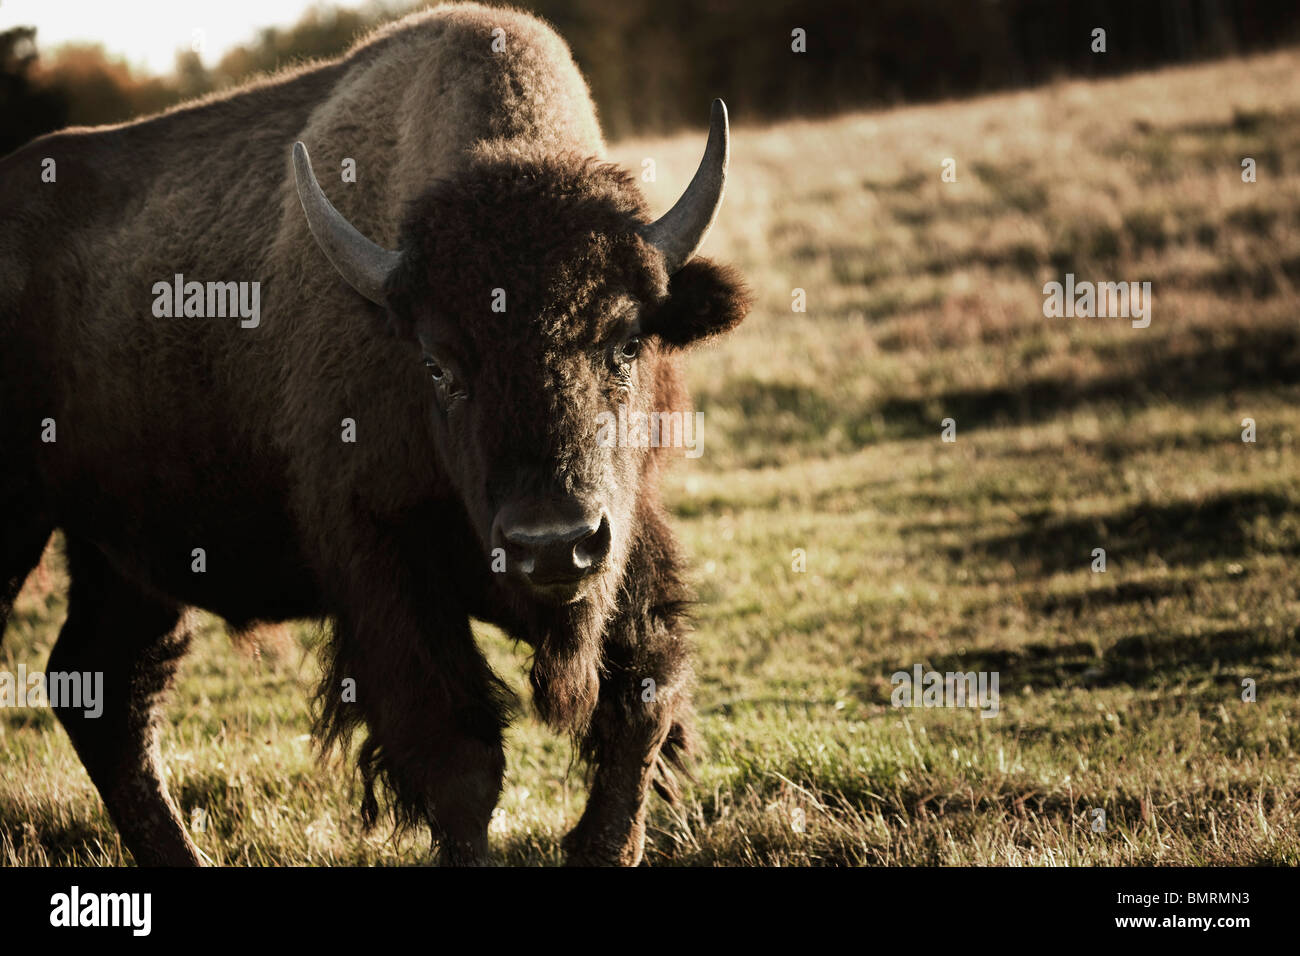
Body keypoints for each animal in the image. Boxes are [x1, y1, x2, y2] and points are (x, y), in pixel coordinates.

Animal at [0, 3, 751, 865]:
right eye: (438, 364)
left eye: (626, 342)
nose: (552, 543)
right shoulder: (382, 569)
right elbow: (460, 760)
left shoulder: (628, 539)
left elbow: (641, 705)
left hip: (125, 558)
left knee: (106, 688)